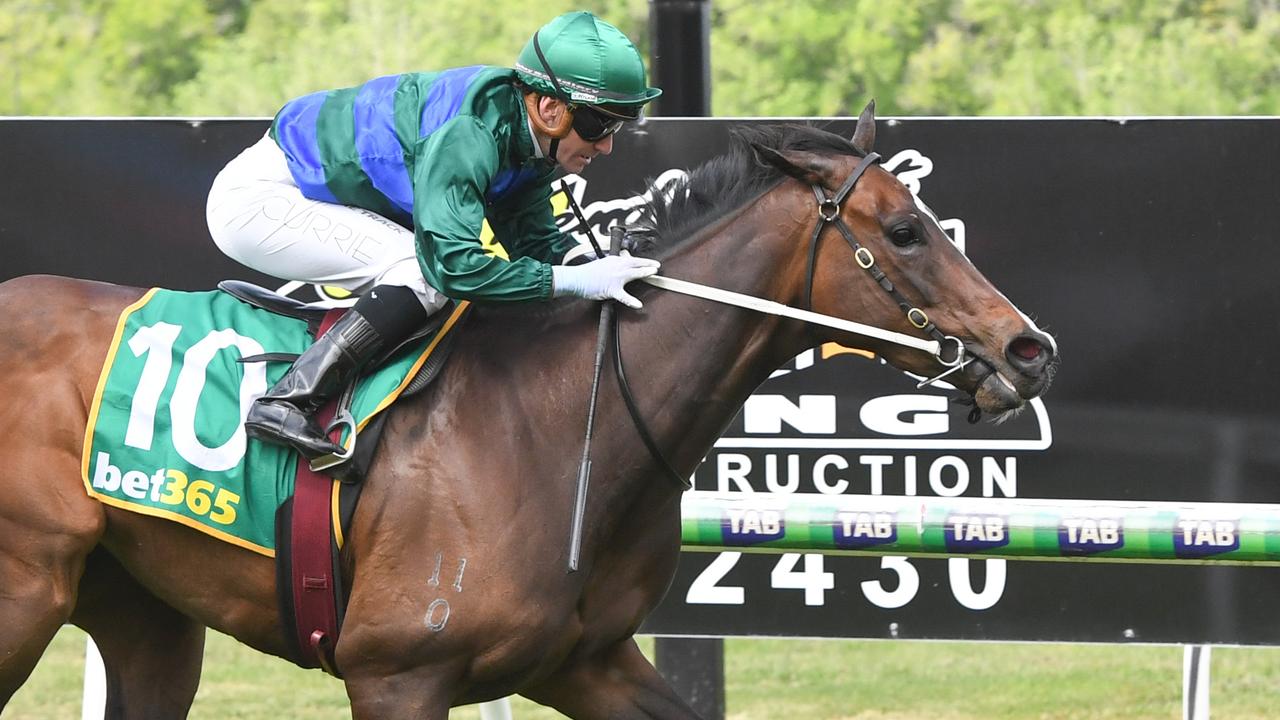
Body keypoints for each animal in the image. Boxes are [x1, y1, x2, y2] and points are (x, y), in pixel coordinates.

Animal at [0, 105, 1056, 718]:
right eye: (908, 231)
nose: (1028, 350)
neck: (547, 429)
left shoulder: (584, 663)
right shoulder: (397, 676)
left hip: (143, 615)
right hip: (25, 593)